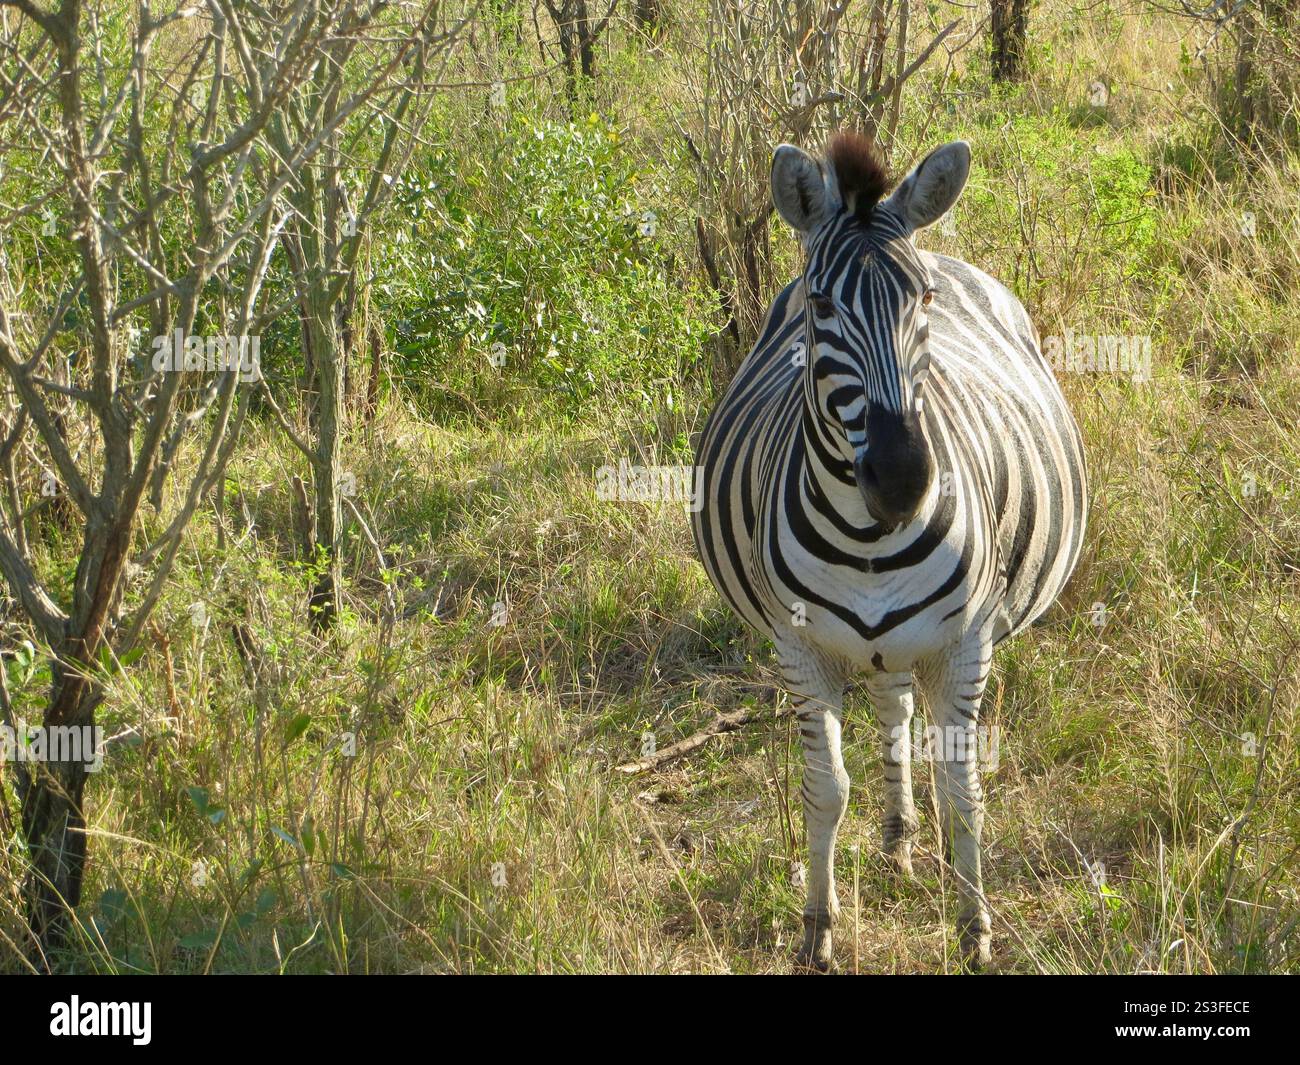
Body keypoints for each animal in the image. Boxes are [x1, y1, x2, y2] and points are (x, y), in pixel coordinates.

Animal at [691, 131, 1087, 971]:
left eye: (925, 300)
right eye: (821, 306)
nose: (904, 481)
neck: (868, 539)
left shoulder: (966, 642)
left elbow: (963, 791)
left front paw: (975, 931)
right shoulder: (799, 649)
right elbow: (827, 789)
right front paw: (817, 928)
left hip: (922, 641)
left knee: (905, 709)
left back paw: (913, 841)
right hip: (878, 646)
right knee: (892, 704)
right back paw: (898, 840)